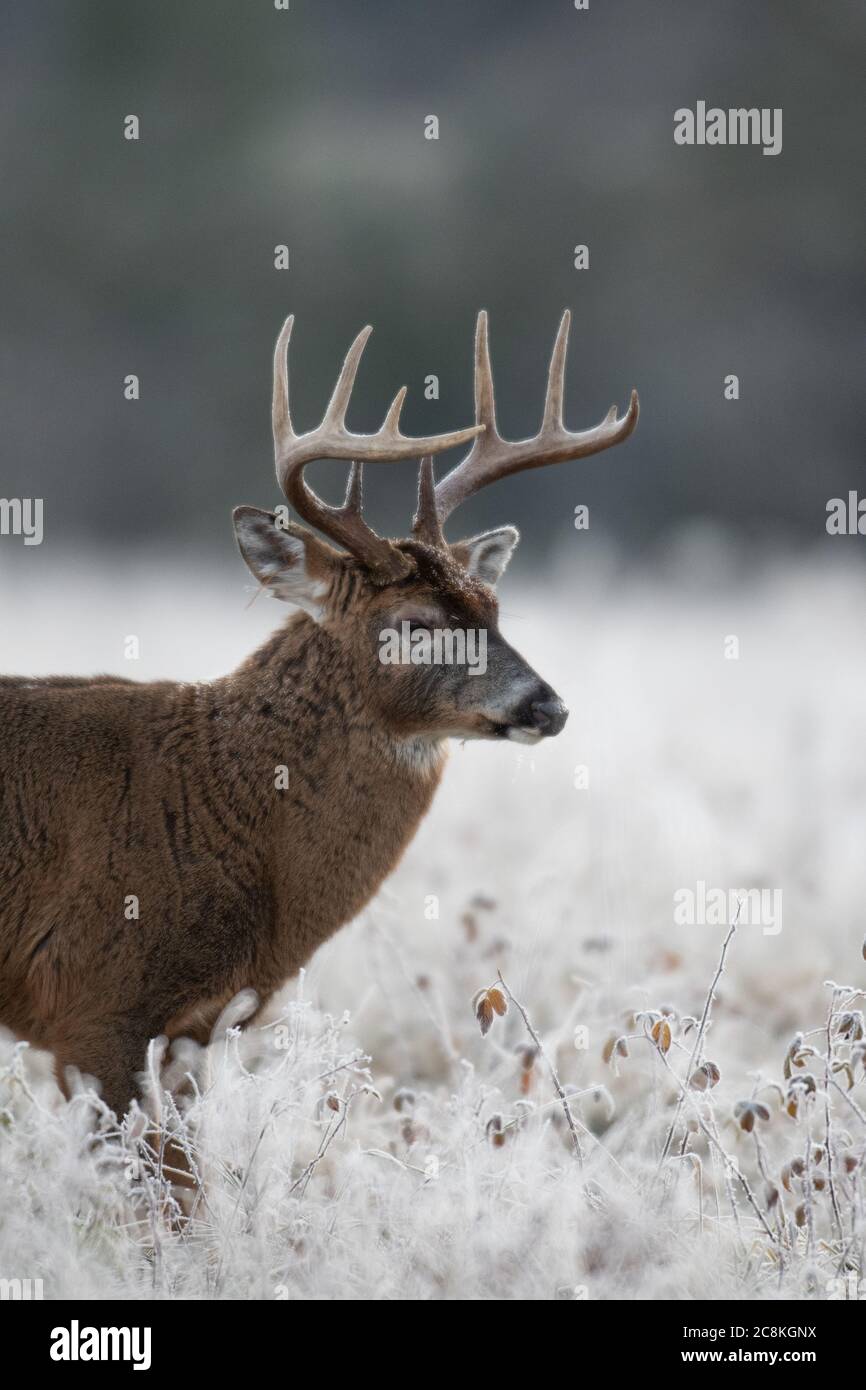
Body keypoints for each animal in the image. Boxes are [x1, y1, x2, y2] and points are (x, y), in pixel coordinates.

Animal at [0, 310, 638, 1118]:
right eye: (415, 623)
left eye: (493, 609)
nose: (547, 706)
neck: (207, 802)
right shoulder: (94, 1006)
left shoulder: (194, 1028)